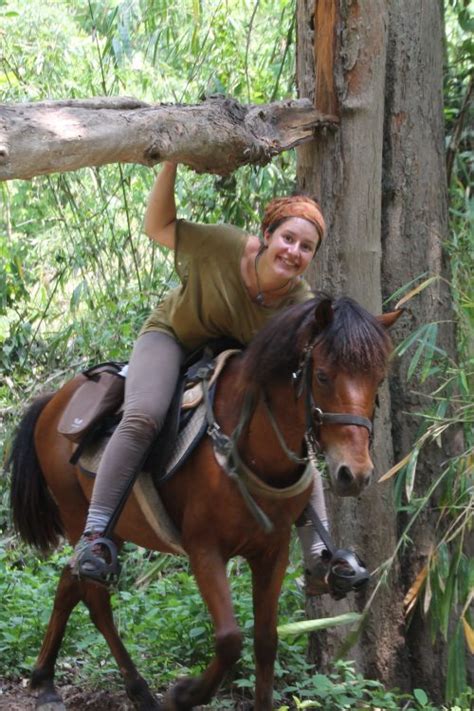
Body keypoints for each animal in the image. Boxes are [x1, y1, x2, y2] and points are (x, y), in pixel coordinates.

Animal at [9, 295, 401, 711]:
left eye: (378, 380)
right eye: (323, 376)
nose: (354, 473)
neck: (249, 446)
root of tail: (53, 401)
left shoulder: (272, 552)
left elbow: (266, 640)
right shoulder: (204, 549)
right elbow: (229, 640)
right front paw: (183, 693)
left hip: (114, 526)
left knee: (70, 581)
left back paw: (46, 680)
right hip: (74, 513)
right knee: (93, 594)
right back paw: (134, 688)